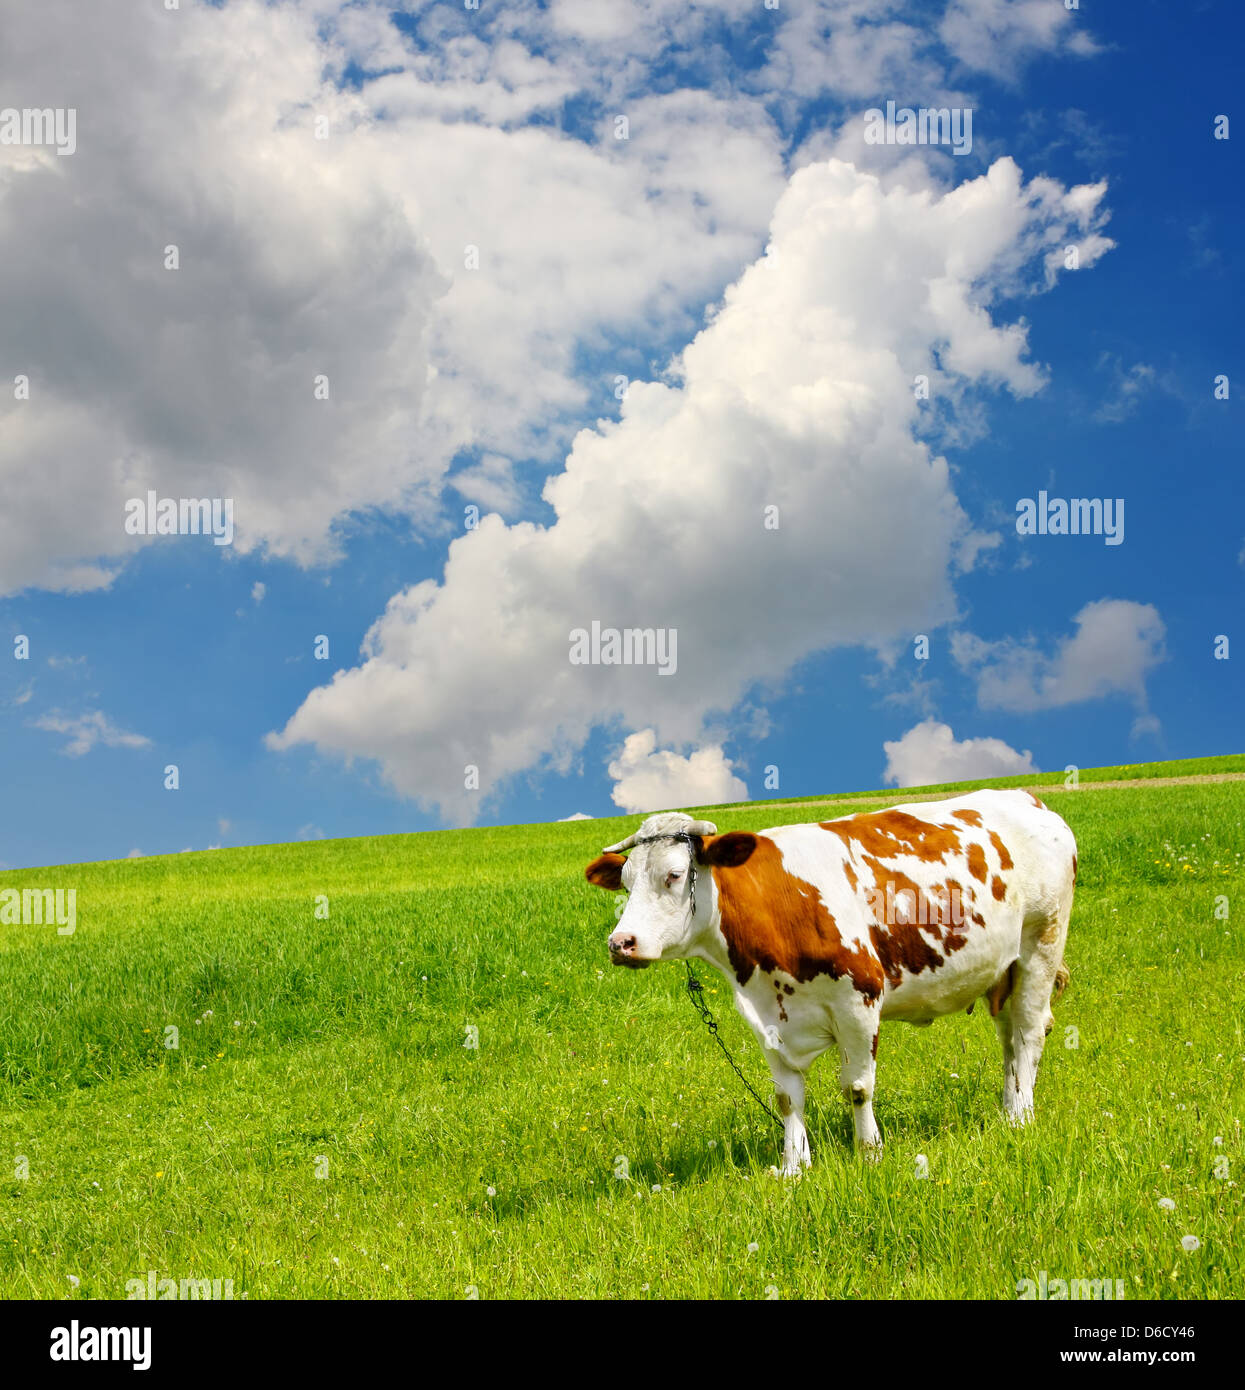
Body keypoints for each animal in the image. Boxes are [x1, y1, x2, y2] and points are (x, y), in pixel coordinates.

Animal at [584, 789, 1076, 1175]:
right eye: (625, 882)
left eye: (673, 875)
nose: (621, 943)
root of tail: (1026, 798)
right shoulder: (767, 1018)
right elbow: (787, 1099)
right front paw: (793, 1167)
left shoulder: (859, 1000)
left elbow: (857, 1087)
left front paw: (869, 1153)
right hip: (1002, 971)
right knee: (1009, 1037)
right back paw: (1009, 1107)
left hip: (1041, 943)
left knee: (1029, 1032)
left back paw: (1021, 1117)